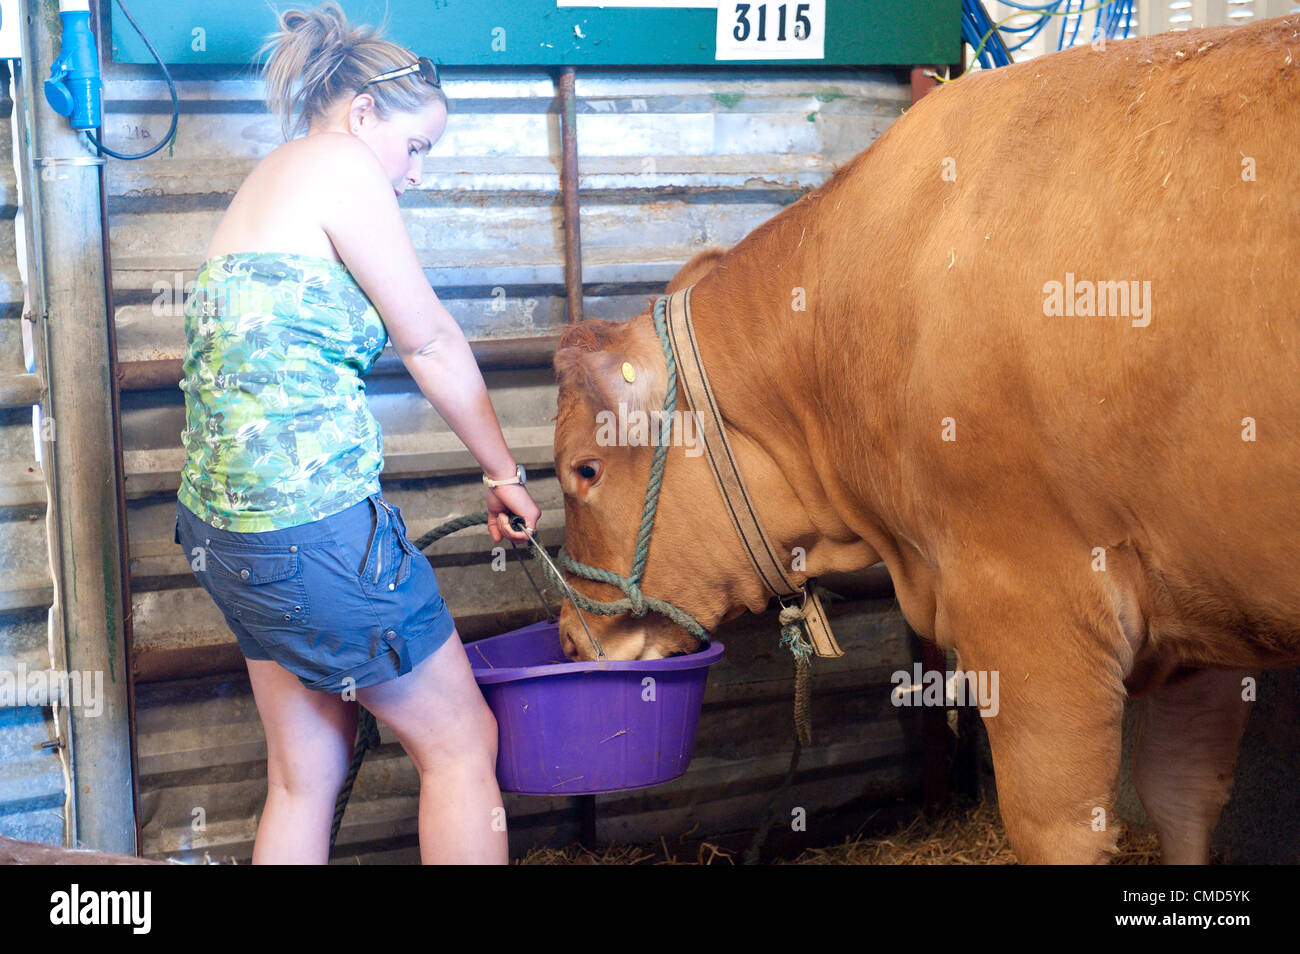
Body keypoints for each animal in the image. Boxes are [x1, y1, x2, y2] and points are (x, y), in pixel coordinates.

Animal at [549, 15, 1300, 864]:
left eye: (582, 469)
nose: (569, 637)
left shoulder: (1030, 605)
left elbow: (1055, 823)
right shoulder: (1201, 621)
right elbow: (1183, 794)